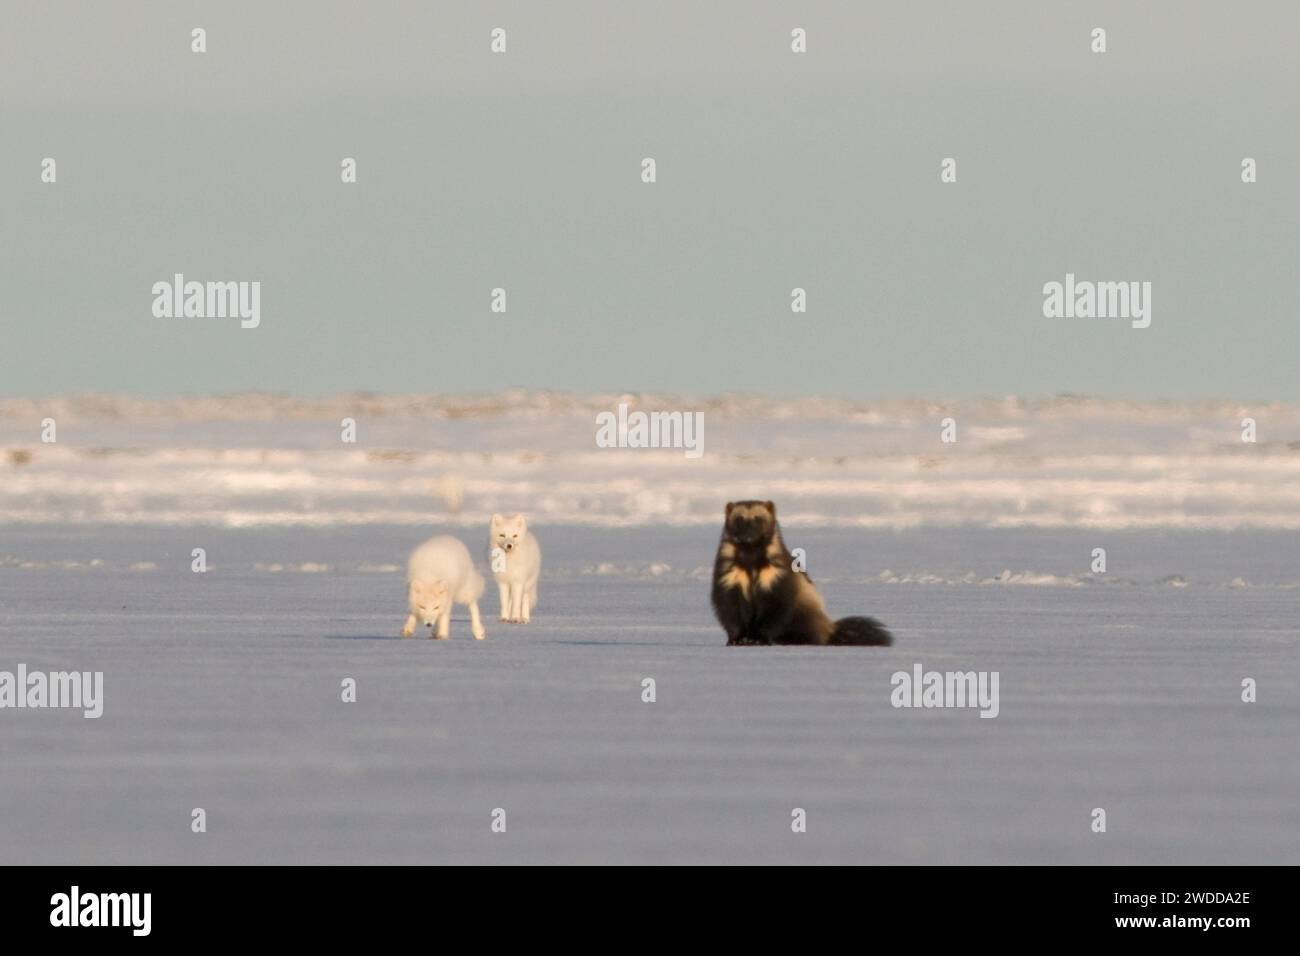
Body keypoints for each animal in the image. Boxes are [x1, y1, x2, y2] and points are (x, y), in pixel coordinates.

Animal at [711, 500, 892, 647]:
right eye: (739, 519)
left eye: (758, 518)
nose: (748, 532)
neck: (751, 560)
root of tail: (829, 628)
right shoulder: (730, 576)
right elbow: (730, 609)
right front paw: (736, 639)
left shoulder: (775, 576)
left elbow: (774, 610)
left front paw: (758, 639)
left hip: (805, 610)